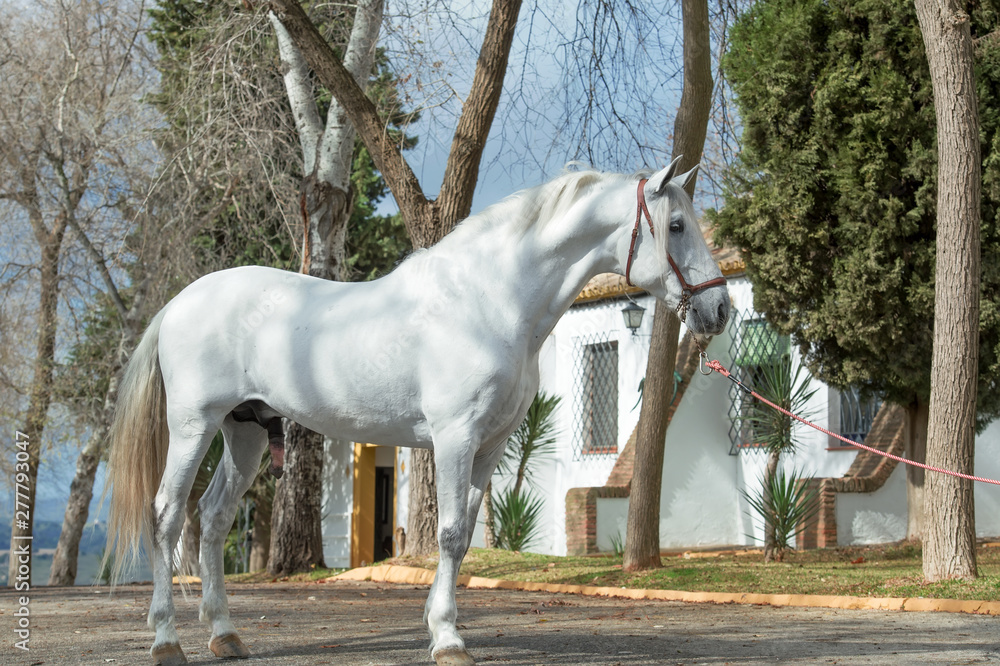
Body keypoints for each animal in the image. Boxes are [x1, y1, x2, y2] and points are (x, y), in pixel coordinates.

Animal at [104, 157, 730, 666]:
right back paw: (166, 641)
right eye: (676, 226)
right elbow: (450, 535)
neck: (488, 302)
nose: (719, 309)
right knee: (166, 515)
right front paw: (449, 640)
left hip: (246, 431)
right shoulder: (455, 438)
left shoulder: (491, 446)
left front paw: (440, 628)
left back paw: (225, 637)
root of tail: (180, 302)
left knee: (211, 518)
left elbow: (466, 533)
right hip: (194, 426)